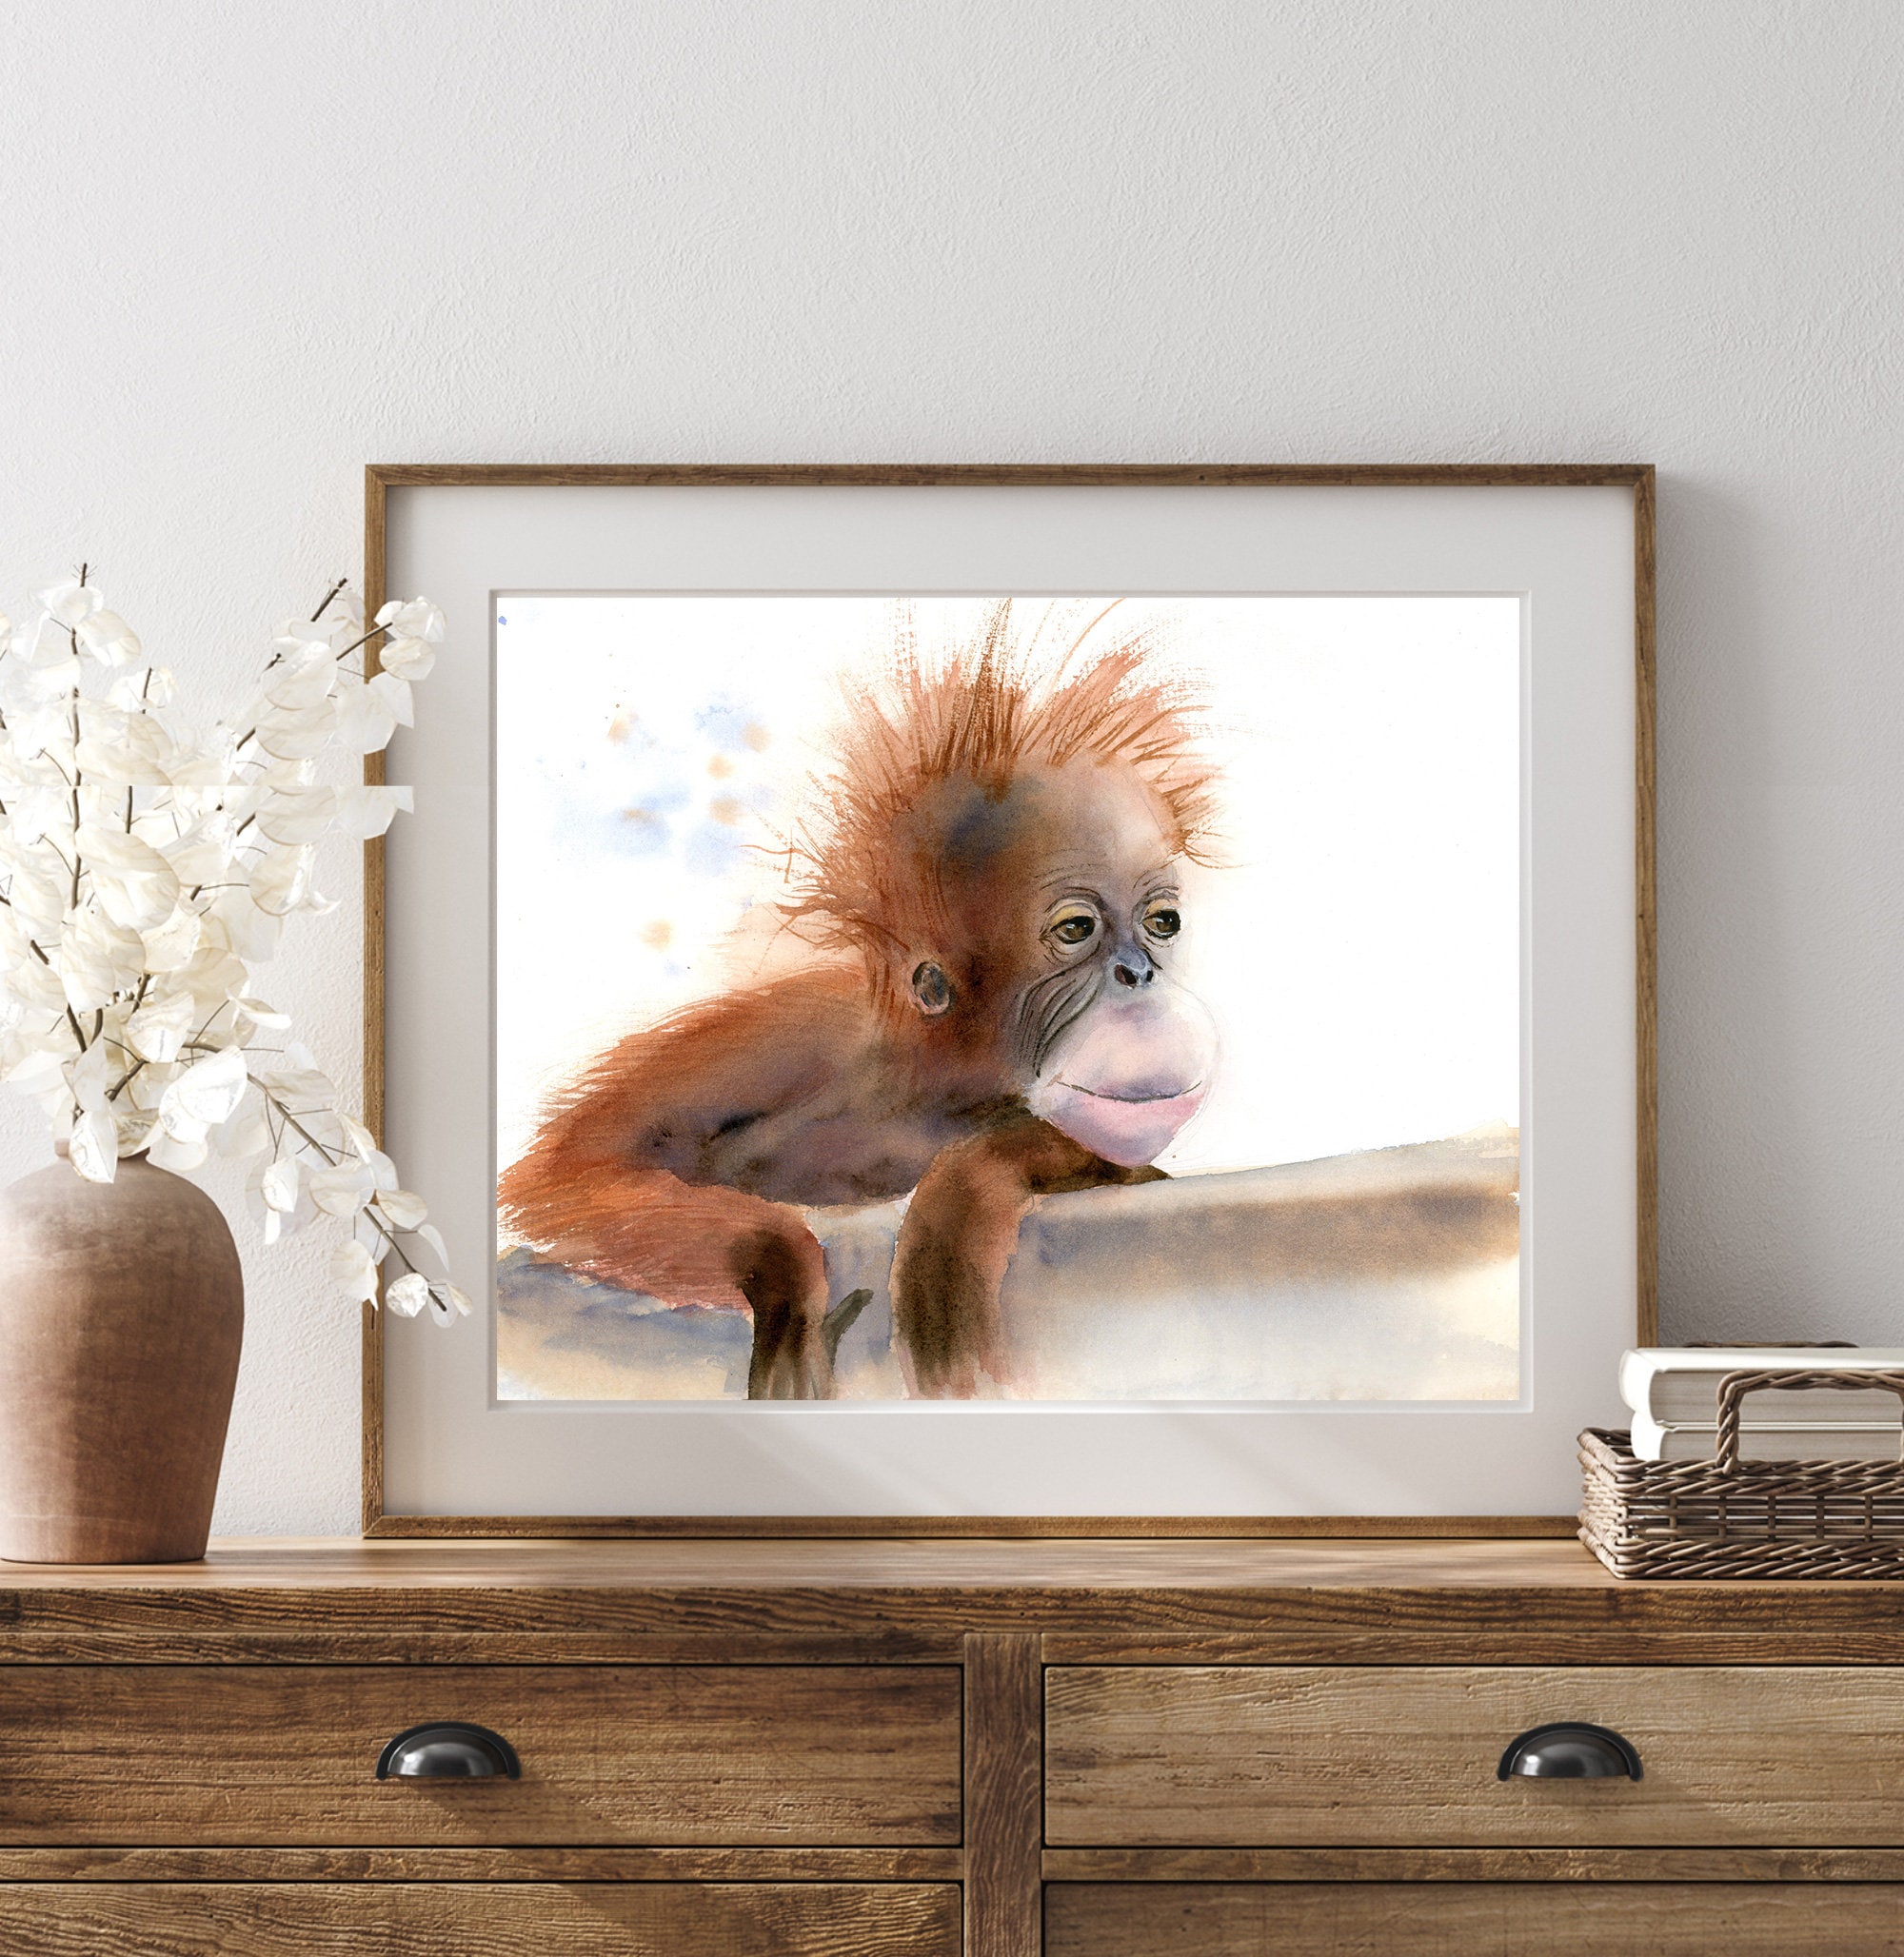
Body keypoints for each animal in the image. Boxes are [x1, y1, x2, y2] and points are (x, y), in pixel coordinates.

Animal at [498, 603, 1220, 1399]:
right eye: (1076, 930)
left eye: (1162, 922)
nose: (1138, 972)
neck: (935, 1082)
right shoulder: (798, 1027)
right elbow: (573, 1163)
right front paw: (787, 1273)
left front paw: (955, 1215)